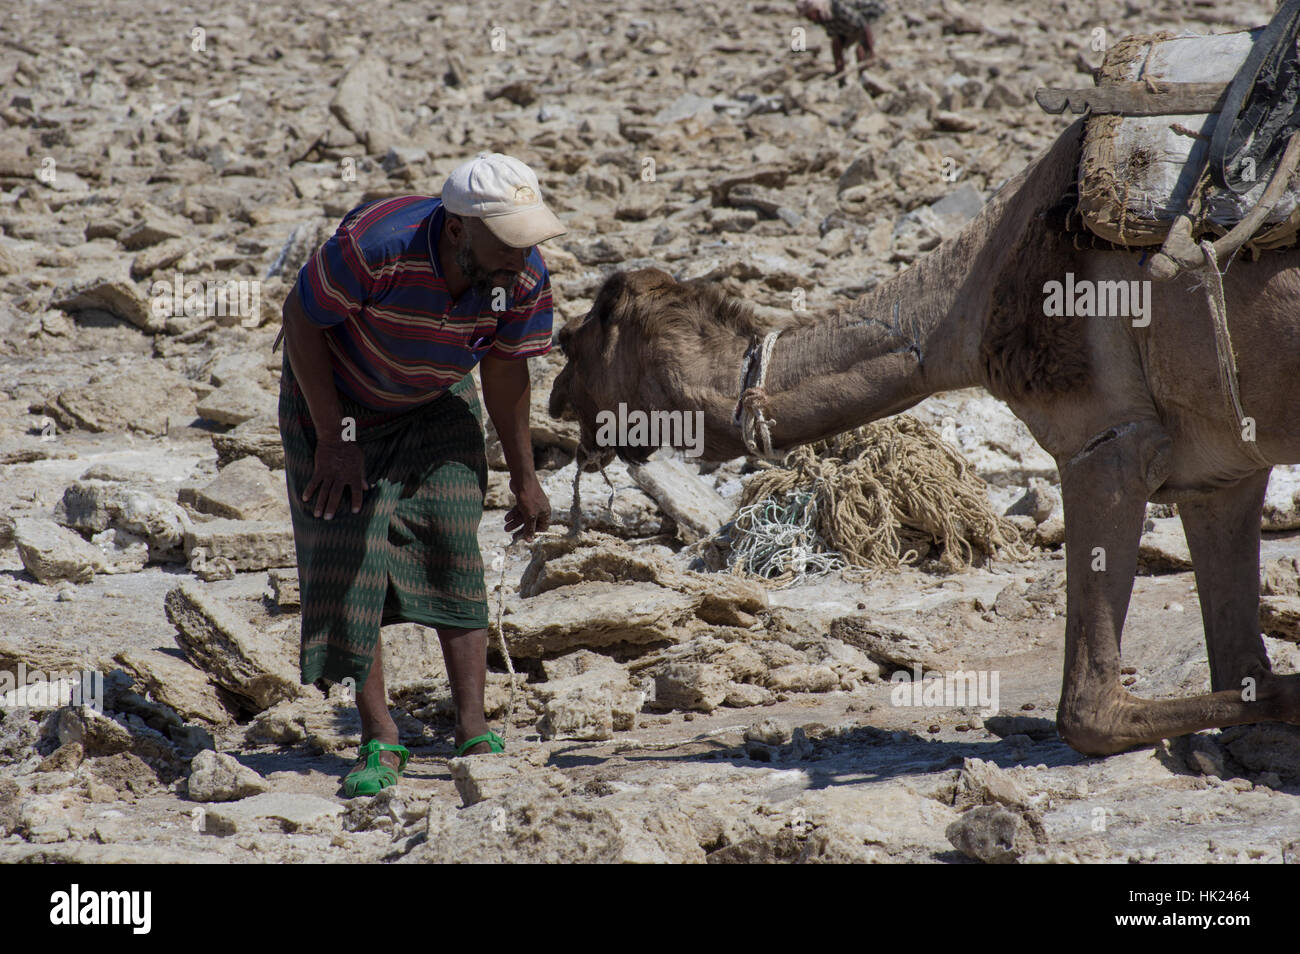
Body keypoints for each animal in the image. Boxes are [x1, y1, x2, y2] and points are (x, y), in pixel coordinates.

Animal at [548, 116, 1300, 757]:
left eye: (582, 336)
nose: (555, 397)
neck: (963, 310)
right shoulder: (1223, 467)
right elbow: (1245, 668)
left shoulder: (1107, 439)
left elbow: (1091, 713)